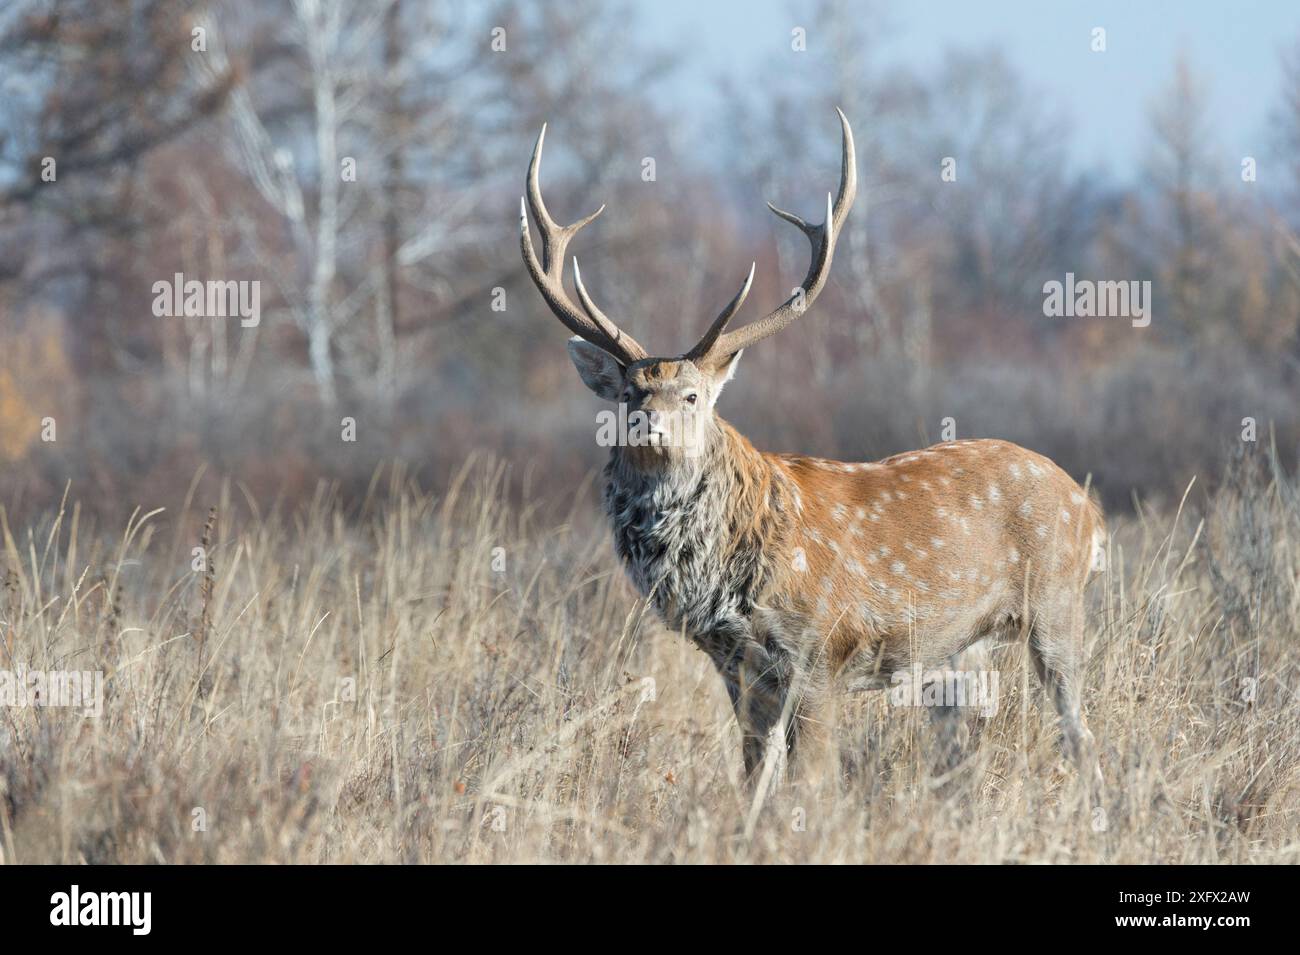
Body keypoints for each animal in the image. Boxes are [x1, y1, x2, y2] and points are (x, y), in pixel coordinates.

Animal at [519, 109, 1106, 792]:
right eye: (629, 393)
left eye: (693, 396)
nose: (648, 425)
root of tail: (1089, 508)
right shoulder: (741, 668)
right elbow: (754, 777)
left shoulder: (821, 650)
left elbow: (813, 782)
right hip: (963, 651)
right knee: (965, 747)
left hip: (1056, 603)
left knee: (1080, 732)